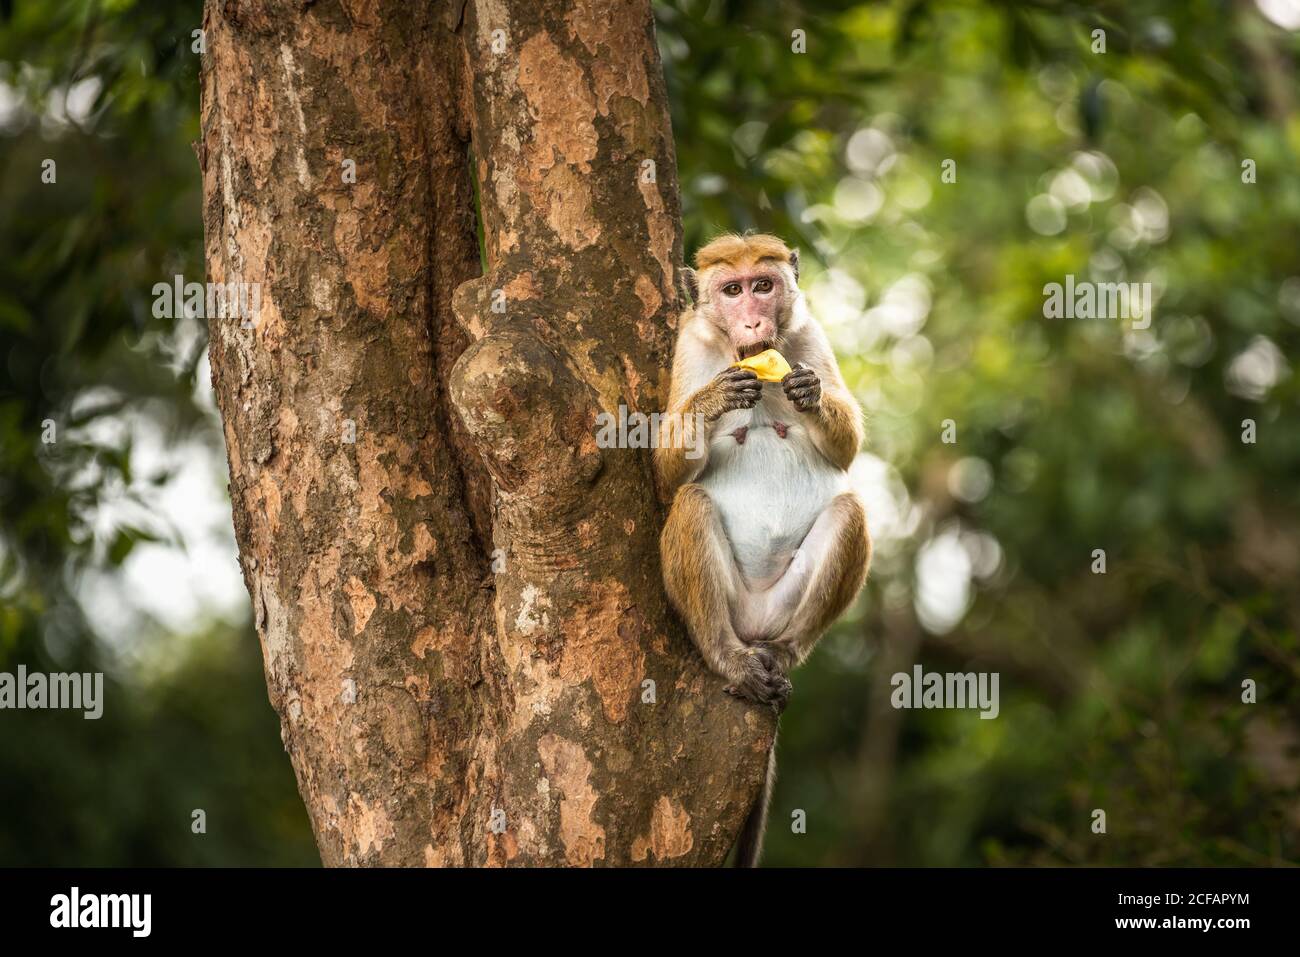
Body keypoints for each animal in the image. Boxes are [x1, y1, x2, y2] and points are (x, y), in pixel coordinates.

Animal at [654, 233, 871, 867]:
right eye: (732, 290)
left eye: (764, 285)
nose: (754, 319)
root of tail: (751, 626)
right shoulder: (688, 346)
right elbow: (666, 475)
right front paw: (712, 402)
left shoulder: (808, 335)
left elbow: (846, 448)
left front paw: (810, 394)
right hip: (726, 605)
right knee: (693, 503)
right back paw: (728, 658)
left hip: (780, 607)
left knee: (849, 511)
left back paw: (785, 651)